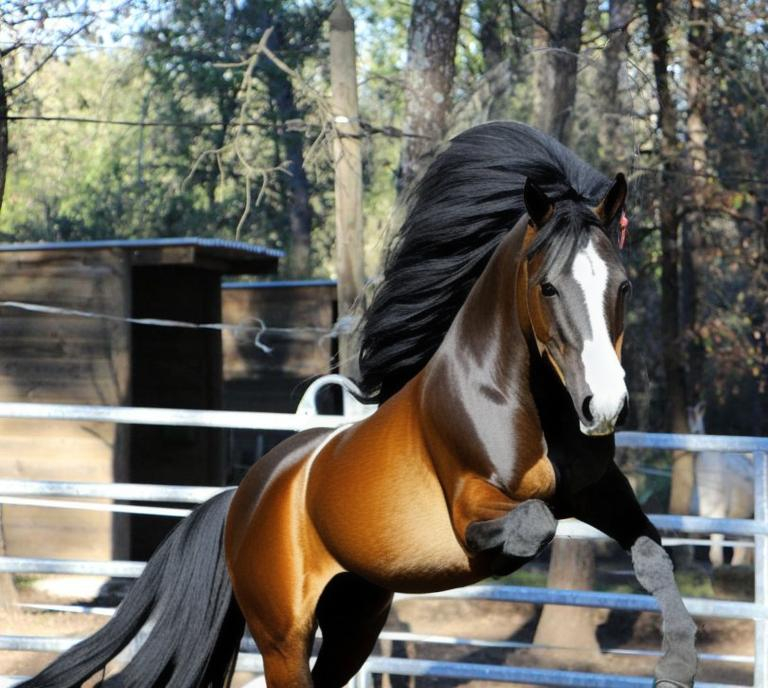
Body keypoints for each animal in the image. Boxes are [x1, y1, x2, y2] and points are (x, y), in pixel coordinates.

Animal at [18, 122, 697, 688]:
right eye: (548, 287)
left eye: (623, 285)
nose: (603, 405)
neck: (515, 403)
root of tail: (243, 498)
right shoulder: (471, 507)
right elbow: (536, 523)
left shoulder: (602, 491)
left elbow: (653, 556)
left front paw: (677, 669)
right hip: (283, 638)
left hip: (353, 621)